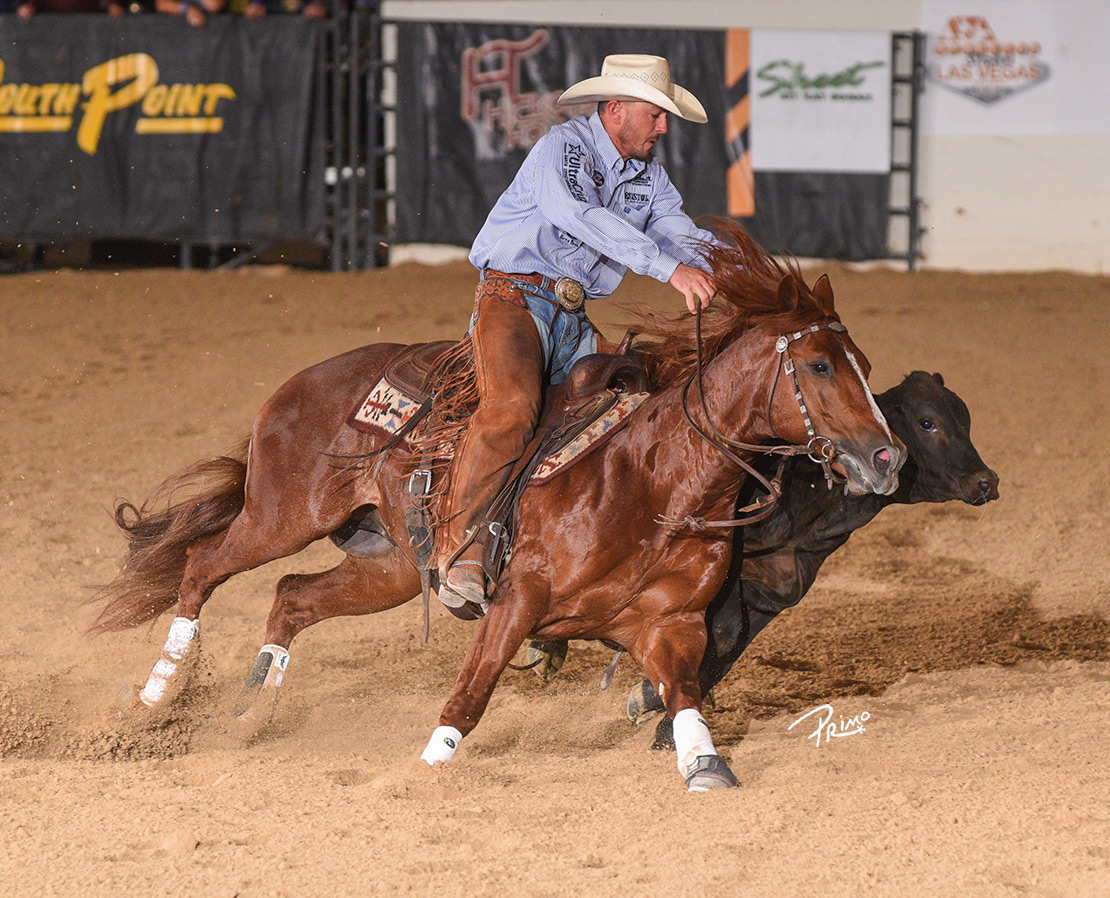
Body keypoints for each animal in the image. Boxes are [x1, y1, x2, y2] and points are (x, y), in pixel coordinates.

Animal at [92, 225, 905, 791]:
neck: (657, 482)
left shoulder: (672, 625)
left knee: (293, 596)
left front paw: (705, 767)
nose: (888, 458)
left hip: (391, 565)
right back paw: (156, 697)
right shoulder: (516, 599)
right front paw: (422, 771)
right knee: (203, 565)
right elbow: (471, 696)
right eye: (820, 365)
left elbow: (684, 697)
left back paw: (252, 710)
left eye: (865, 365)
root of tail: (296, 385)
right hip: (282, 516)